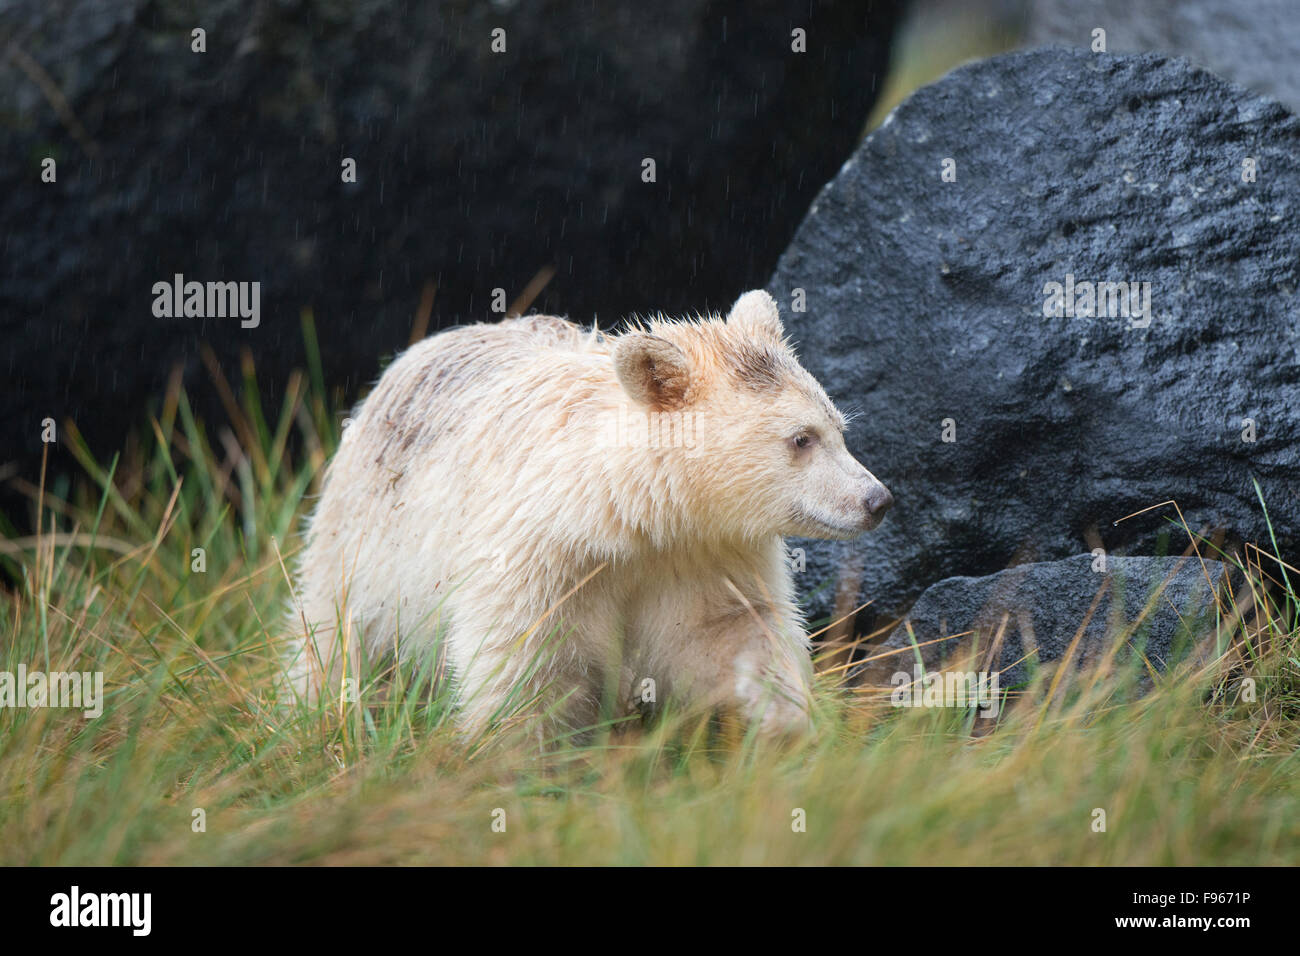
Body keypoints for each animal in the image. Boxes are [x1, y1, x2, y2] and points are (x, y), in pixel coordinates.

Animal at [283, 290, 892, 739]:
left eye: (838, 426)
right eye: (801, 439)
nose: (877, 500)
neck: (626, 512)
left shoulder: (703, 554)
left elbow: (732, 632)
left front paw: (782, 721)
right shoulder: (540, 559)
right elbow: (526, 670)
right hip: (363, 538)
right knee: (336, 637)